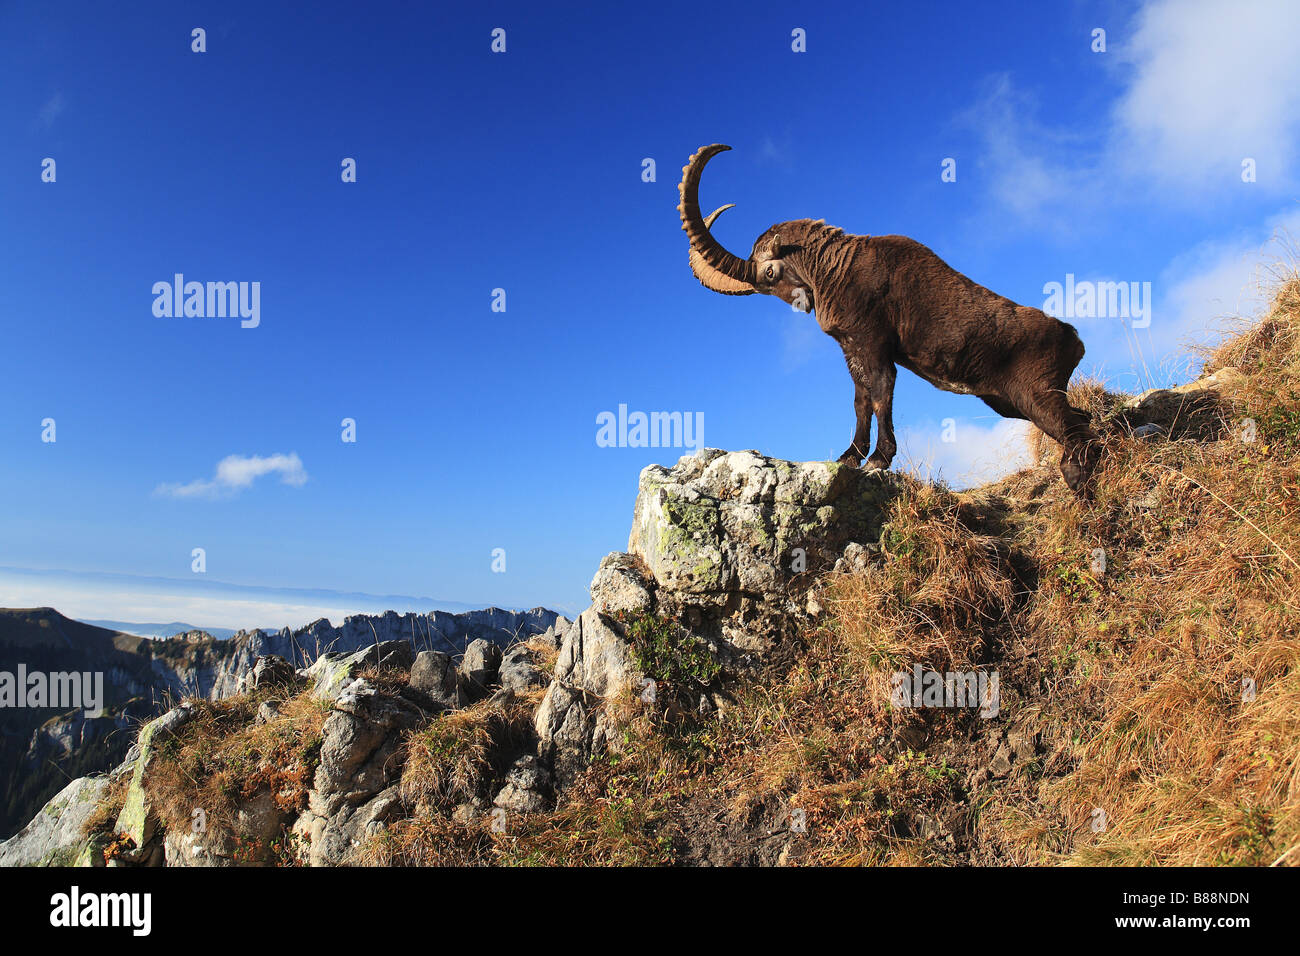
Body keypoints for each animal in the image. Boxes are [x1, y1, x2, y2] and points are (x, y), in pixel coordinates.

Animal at [678, 144, 1100, 492]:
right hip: (1009, 402)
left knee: (1077, 434)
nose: (802, 304)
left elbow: (882, 391)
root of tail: (1074, 338)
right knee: (1081, 421)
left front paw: (879, 459)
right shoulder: (851, 347)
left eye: (769, 272)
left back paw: (1079, 488)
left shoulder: (873, 342)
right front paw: (850, 456)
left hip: (1035, 395)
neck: (836, 268)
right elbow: (861, 399)